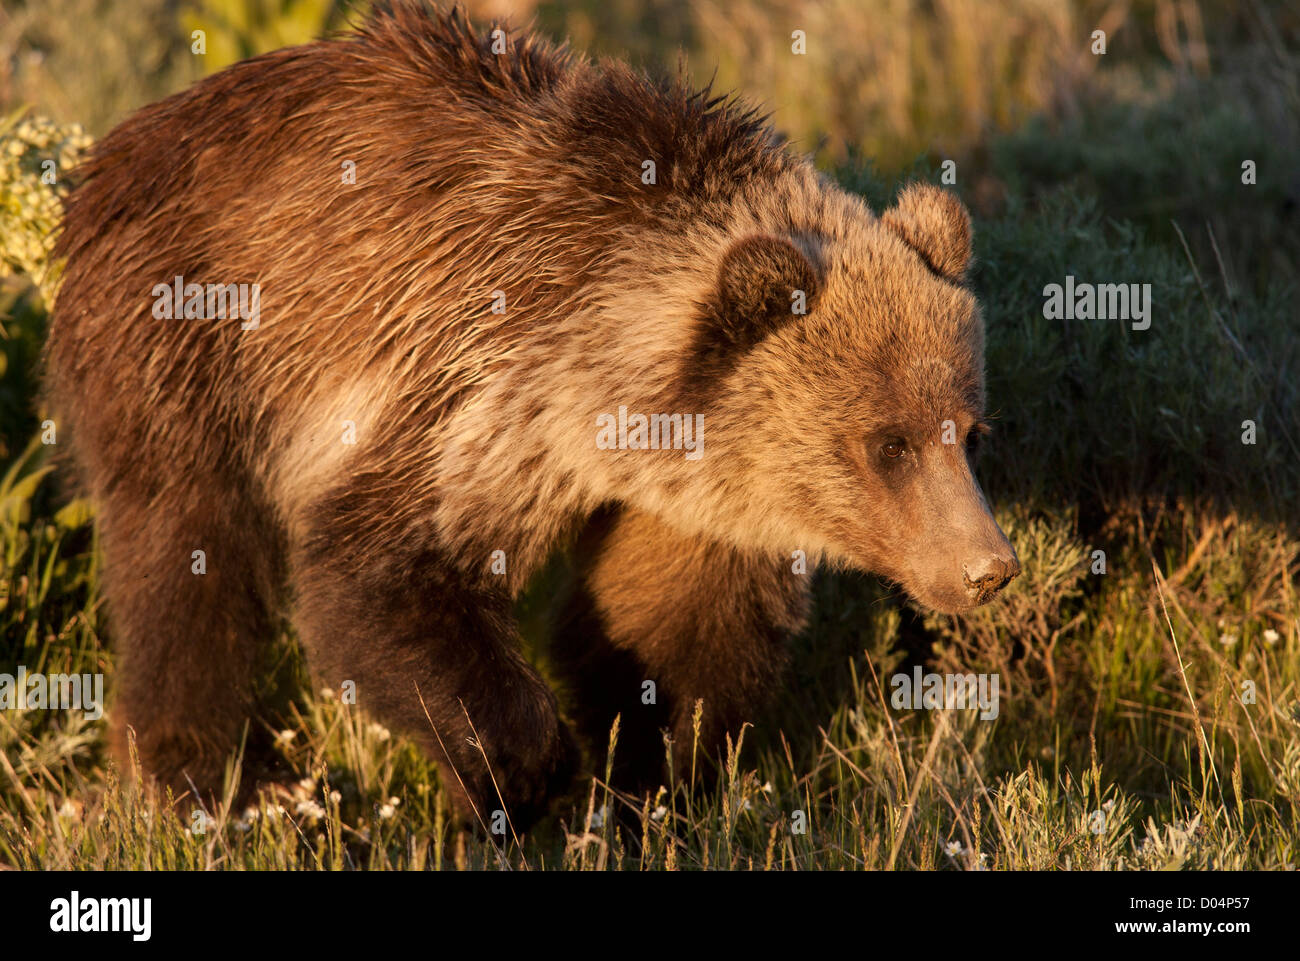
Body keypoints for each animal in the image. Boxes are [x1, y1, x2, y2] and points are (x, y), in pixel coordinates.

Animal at [44, 1, 1019, 826]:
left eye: (968, 431)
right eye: (887, 443)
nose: (987, 568)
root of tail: (123, 140)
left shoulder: (692, 494)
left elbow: (666, 630)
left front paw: (654, 783)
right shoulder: (472, 382)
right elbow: (382, 570)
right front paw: (526, 769)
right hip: (186, 334)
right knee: (185, 551)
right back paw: (202, 778)